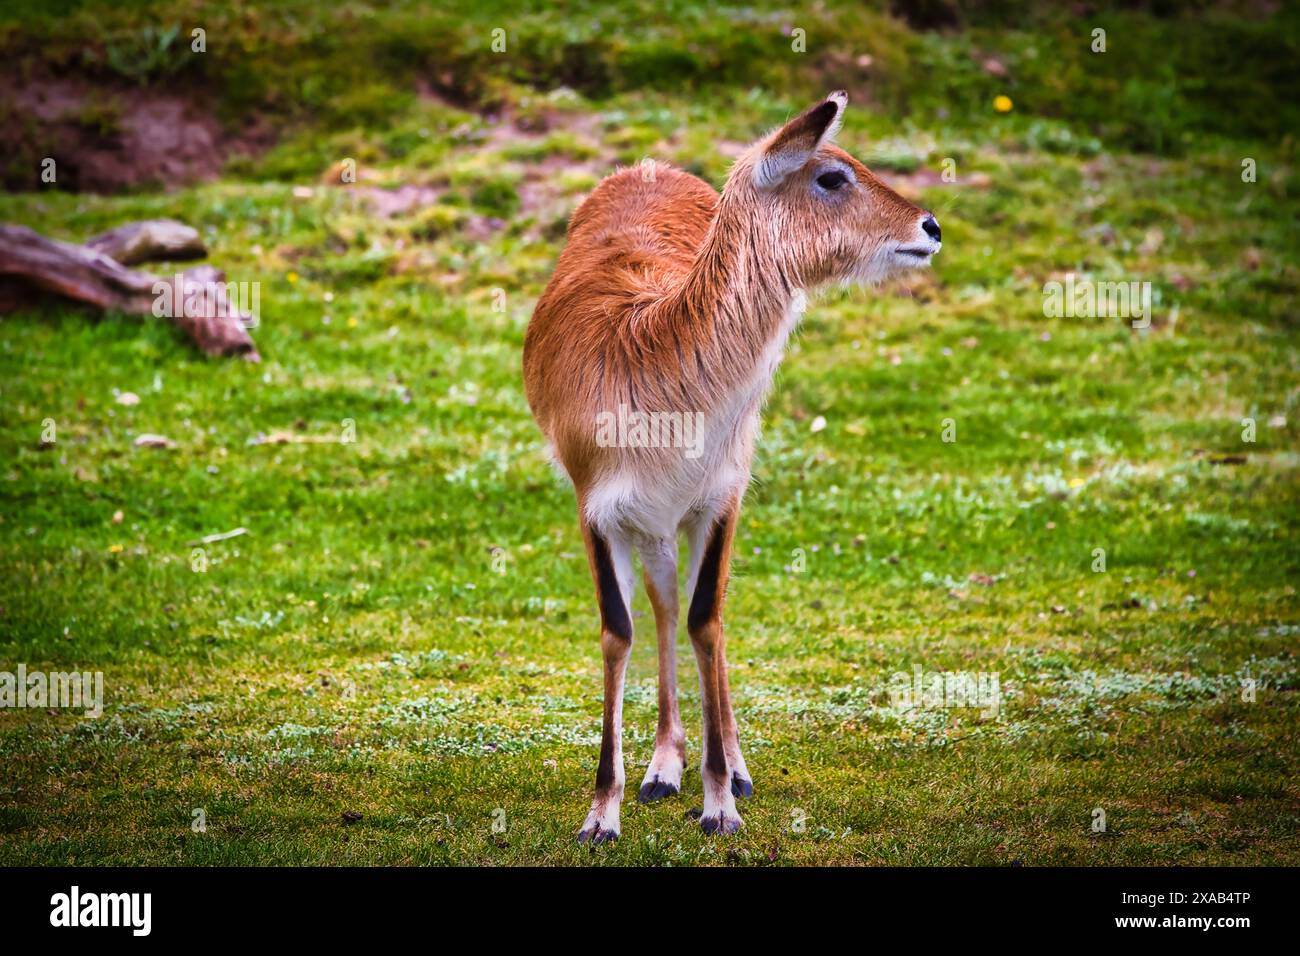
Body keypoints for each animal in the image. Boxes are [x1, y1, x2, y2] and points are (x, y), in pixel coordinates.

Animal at [523, 91, 942, 842]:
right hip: (653, 524)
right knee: (662, 603)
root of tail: (648, 166)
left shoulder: (719, 498)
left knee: (700, 609)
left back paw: (728, 768)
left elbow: (706, 620)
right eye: (831, 174)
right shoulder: (597, 506)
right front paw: (602, 814)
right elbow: (620, 628)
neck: (648, 358)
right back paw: (662, 768)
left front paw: (720, 801)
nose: (931, 225)